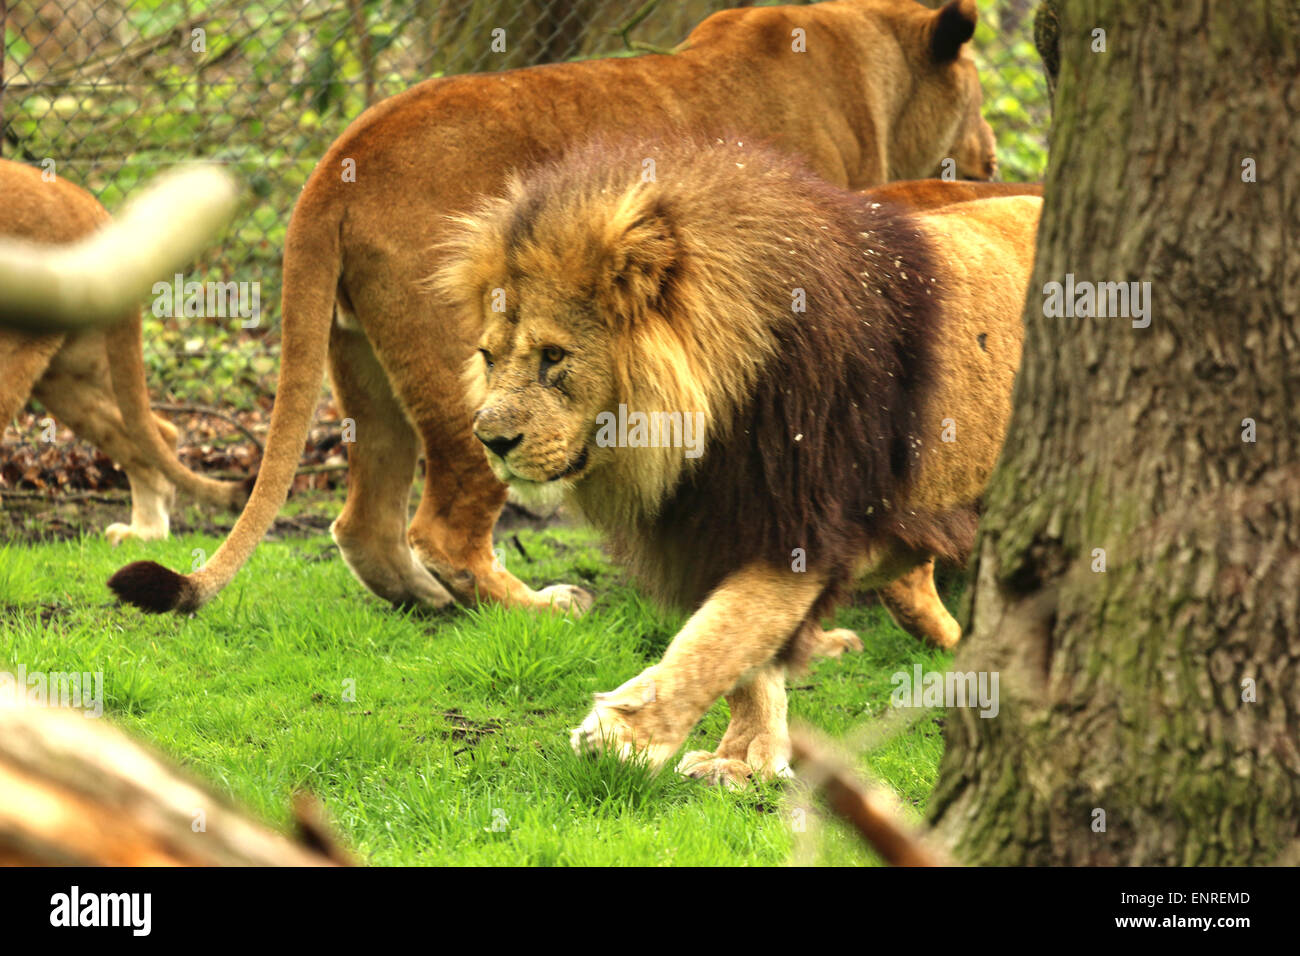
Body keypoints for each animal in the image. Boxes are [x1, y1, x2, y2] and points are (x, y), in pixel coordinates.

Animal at [109, 0, 997, 615]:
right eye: (982, 97)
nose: (991, 160)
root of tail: (339, 159)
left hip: (363, 368)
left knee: (365, 524)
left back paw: (432, 604)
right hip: (471, 373)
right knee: (445, 527)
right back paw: (541, 607)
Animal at [434, 136, 1040, 788]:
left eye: (553, 356)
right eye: (488, 358)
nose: (490, 440)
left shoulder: (805, 521)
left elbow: (721, 636)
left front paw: (623, 736)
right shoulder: (715, 524)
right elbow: (747, 664)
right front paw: (744, 761)